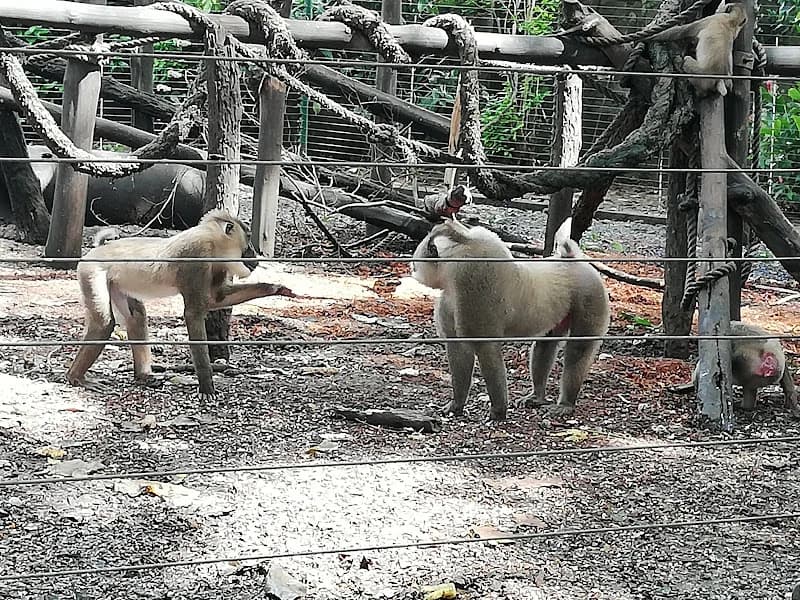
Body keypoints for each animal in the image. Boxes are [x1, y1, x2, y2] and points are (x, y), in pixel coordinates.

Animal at [67, 209, 295, 398]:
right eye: (248, 238)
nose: (255, 255)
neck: (212, 240)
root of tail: (99, 249)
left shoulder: (218, 266)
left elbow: (217, 298)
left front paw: (274, 288)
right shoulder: (197, 258)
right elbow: (194, 313)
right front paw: (206, 386)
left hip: (117, 284)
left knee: (137, 316)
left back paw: (143, 376)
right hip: (92, 271)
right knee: (104, 322)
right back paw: (76, 377)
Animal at [411, 218, 610, 421]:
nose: (414, 266)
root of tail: (574, 260)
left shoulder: (472, 278)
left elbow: (486, 347)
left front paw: (498, 410)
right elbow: (459, 349)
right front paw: (457, 404)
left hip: (590, 294)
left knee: (578, 349)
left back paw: (566, 404)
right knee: (546, 344)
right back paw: (537, 396)